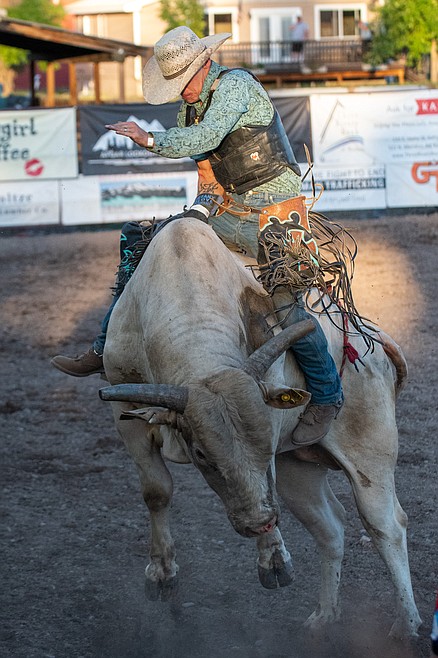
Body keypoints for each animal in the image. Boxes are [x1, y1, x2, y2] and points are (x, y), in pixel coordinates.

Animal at [99, 215, 421, 639]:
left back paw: (406, 626)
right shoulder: (126, 411)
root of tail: (376, 341)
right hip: (297, 469)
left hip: (370, 448)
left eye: (266, 443)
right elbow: (157, 491)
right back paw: (323, 618)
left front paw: (274, 561)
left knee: (387, 525)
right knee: (330, 527)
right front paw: (162, 573)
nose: (256, 523)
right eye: (201, 454)